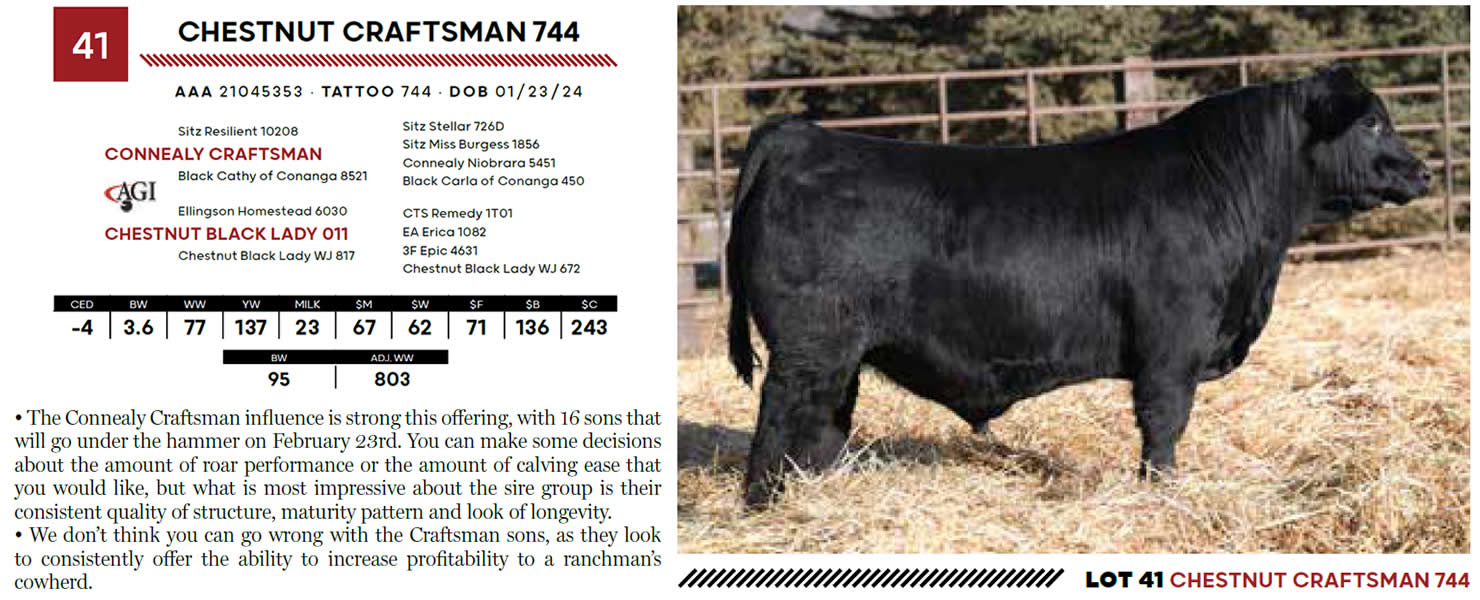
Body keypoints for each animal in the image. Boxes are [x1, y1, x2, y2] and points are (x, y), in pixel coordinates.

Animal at [725, 66, 1430, 507]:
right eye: (1371, 123)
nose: (1421, 171)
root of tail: (801, 134)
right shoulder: (1173, 345)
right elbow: (1164, 424)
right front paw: (1161, 493)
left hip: (840, 354)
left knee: (820, 427)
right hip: (808, 346)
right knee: (778, 419)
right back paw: (764, 505)